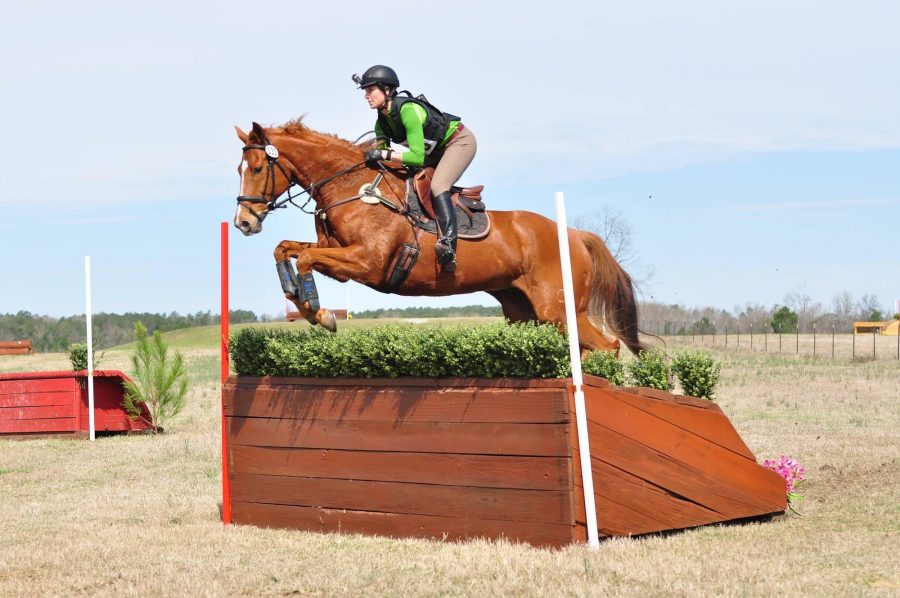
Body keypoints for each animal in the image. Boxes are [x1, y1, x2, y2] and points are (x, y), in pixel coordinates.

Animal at [233, 118, 646, 355]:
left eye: (257, 168)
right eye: (239, 169)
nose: (243, 222)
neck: (353, 187)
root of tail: (575, 234)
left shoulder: (365, 263)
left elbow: (304, 258)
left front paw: (322, 314)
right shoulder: (336, 252)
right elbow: (285, 250)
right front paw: (303, 303)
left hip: (559, 310)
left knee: (608, 345)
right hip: (524, 312)